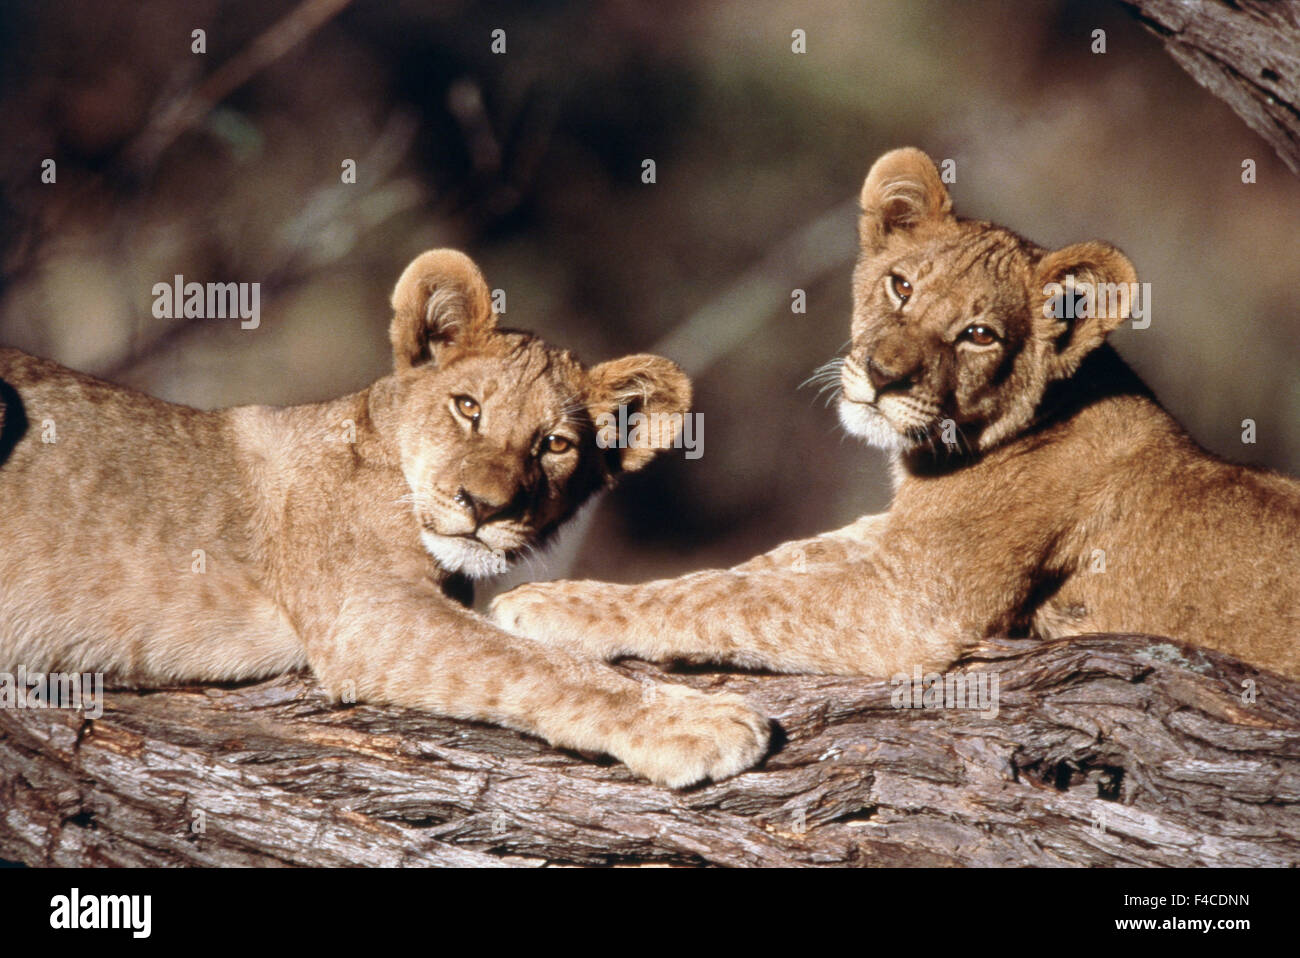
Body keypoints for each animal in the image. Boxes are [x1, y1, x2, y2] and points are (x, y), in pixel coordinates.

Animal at [0, 250, 771, 788]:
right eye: (468, 407)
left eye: (555, 445)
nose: (485, 507)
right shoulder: (368, 615)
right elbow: (541, 664)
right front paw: (692, 723)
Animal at [491, 147, 1300, 685]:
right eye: (901, 286)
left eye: (980, 334)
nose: (881, 377)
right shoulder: (895, 541)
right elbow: (767, 563)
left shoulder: (916, 604)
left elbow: (736, 596)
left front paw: (552, 607)